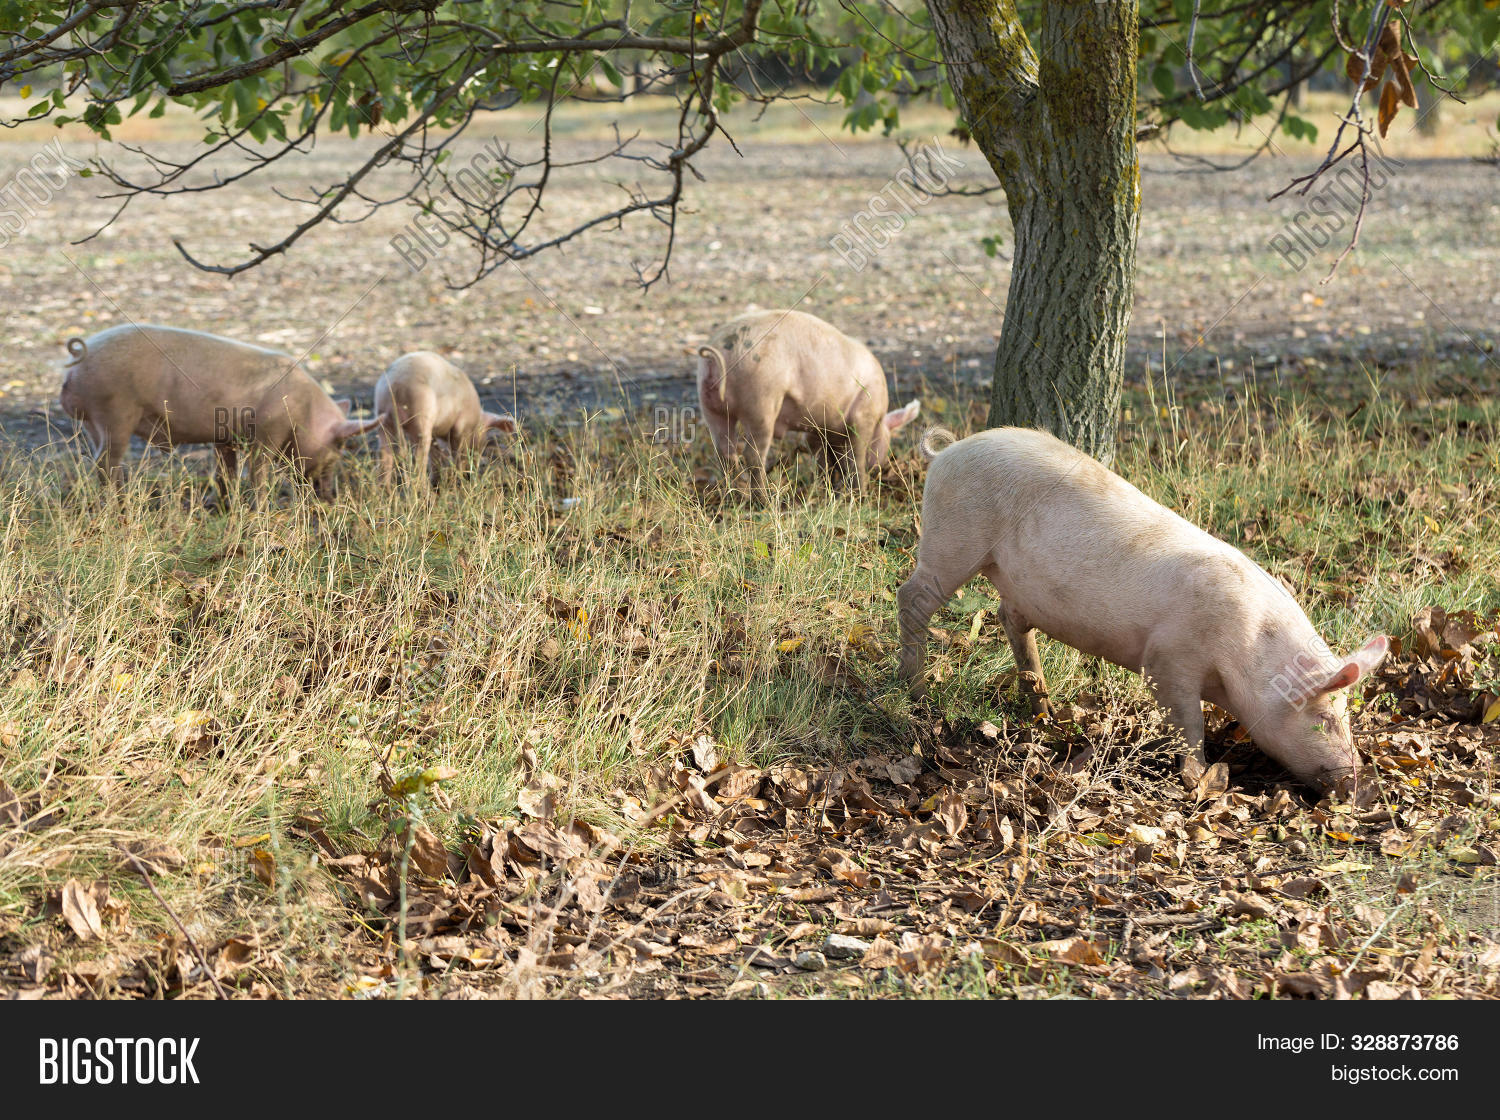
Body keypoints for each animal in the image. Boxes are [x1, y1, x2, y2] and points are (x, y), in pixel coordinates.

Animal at [59, 324, 380, 500]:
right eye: (338, 449)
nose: (329, 496)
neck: (304, 411)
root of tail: (77, 360)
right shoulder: (267, 433)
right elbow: (258, 473)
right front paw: (259, 508)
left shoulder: (226, 437)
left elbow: (226, 473)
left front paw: (227, 506)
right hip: (114, 412)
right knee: (105, 462)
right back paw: (119, 504)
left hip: (93, 422)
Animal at [372, 352, 515, 489]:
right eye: (483, 441)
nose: (473, 471)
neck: (475, 421)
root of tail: (395, 384)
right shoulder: (461, 426)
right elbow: (457, 452)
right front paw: (460, 479)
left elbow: (436, 453)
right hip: (419, 414)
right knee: (419, 456)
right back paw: (423, 490)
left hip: (383, 416)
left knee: (385, 452)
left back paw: (385, 490)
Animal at [696, 309, 919, 500]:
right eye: (887, 443)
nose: (880, 470)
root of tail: (720, 349)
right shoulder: (864, 415)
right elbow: (856, 456)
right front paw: (860, 495)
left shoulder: (817, 426)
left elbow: (822, 458)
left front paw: (826, 489)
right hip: (761, 398)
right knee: (753, 455)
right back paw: (765, 502)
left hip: (710, 404)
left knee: (725, 453)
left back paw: (736, 497)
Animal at [896, 426, 1389, 795]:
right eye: (1324, 719)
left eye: (1348, 716)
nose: (1360, 786)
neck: (1249, 653)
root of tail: (948, 451)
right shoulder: (1168, 658)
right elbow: (1188, 722)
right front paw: (1201, 777)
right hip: (952, 539)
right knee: (911, 598)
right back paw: (915, 694)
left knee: (1010, 620)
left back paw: (1046, 713)